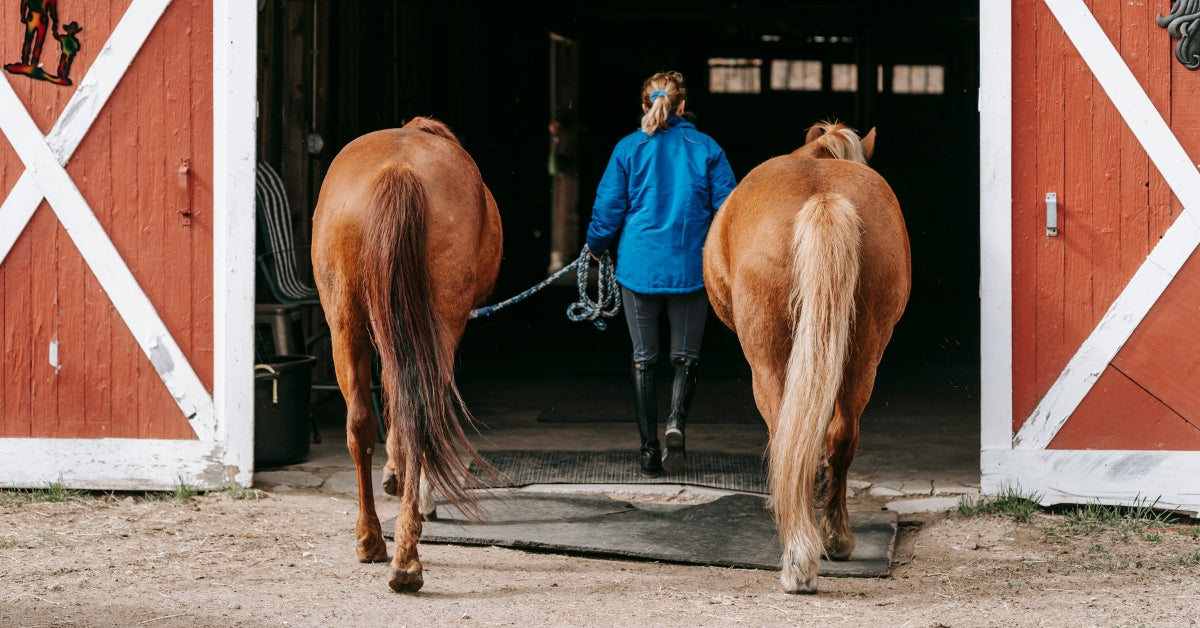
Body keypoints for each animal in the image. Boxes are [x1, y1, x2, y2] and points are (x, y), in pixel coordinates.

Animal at [310, 116, 503, 593]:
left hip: (345, 325)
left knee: (360, 424)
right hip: (439, 326)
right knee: (422, 419)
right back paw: (406, 556)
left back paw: (373, 542)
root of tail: (400, 171)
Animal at [702, 121, 910, 593]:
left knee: (784, 433)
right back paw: (834, 539)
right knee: (841, 435)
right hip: (864, 355)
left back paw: (798, 558)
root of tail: (823, 197)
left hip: (767, 361)